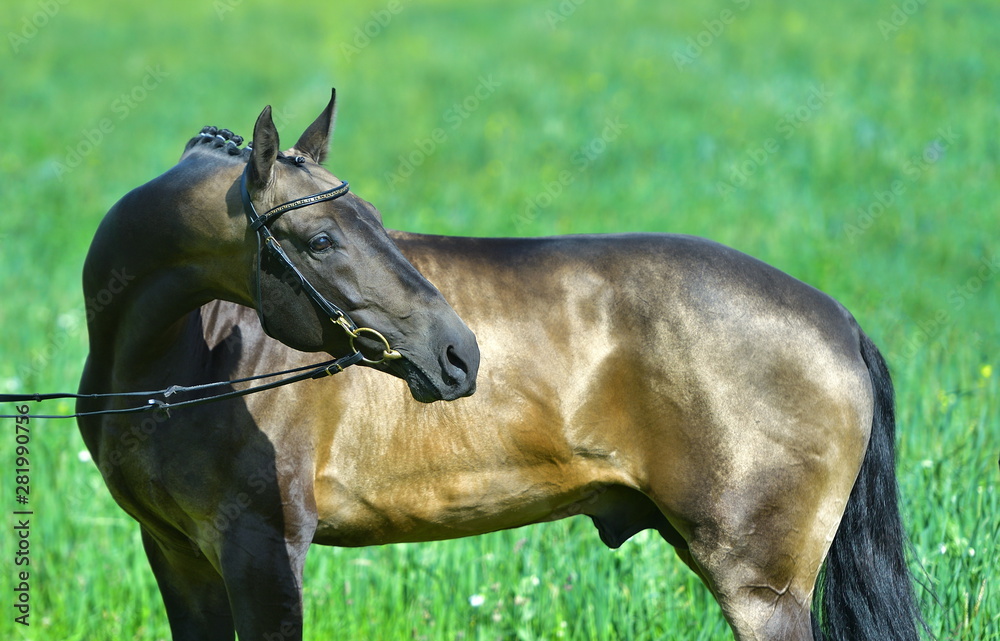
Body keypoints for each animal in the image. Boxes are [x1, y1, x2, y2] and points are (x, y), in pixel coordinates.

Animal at [78, 90, 927, 641]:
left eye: (374, 220)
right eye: (320, 238)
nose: (457, 351)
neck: (183, 356)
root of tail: (840, 318)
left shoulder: (263, 554)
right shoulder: (177, 554)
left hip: (762, 590)